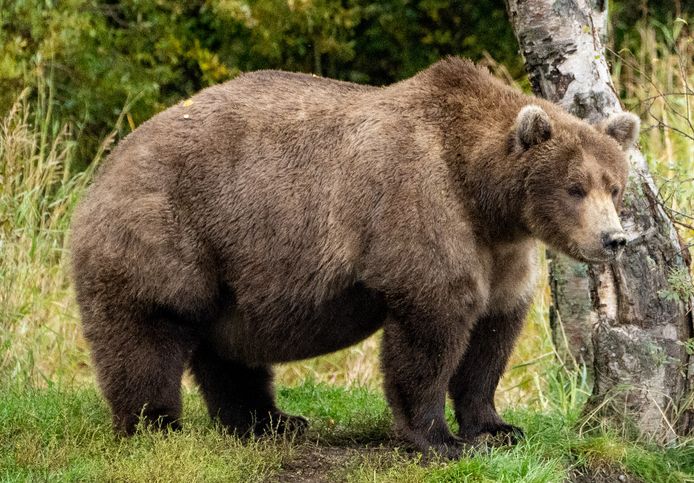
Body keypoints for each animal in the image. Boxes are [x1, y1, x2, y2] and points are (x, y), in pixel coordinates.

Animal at [70, 56, 639, 458]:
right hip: (167, 231)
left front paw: (497, 427)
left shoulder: (504, 253)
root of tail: (105, 167)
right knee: (147, 330)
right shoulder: (421, 208)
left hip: (233, 266)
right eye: (574, 187)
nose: (614, 239)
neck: (484, 198)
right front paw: (440, 439)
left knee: (229, 347)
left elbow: (492, 335)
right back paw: (156, 426)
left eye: (614, 185)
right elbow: (431, 330)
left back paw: (272, 421)